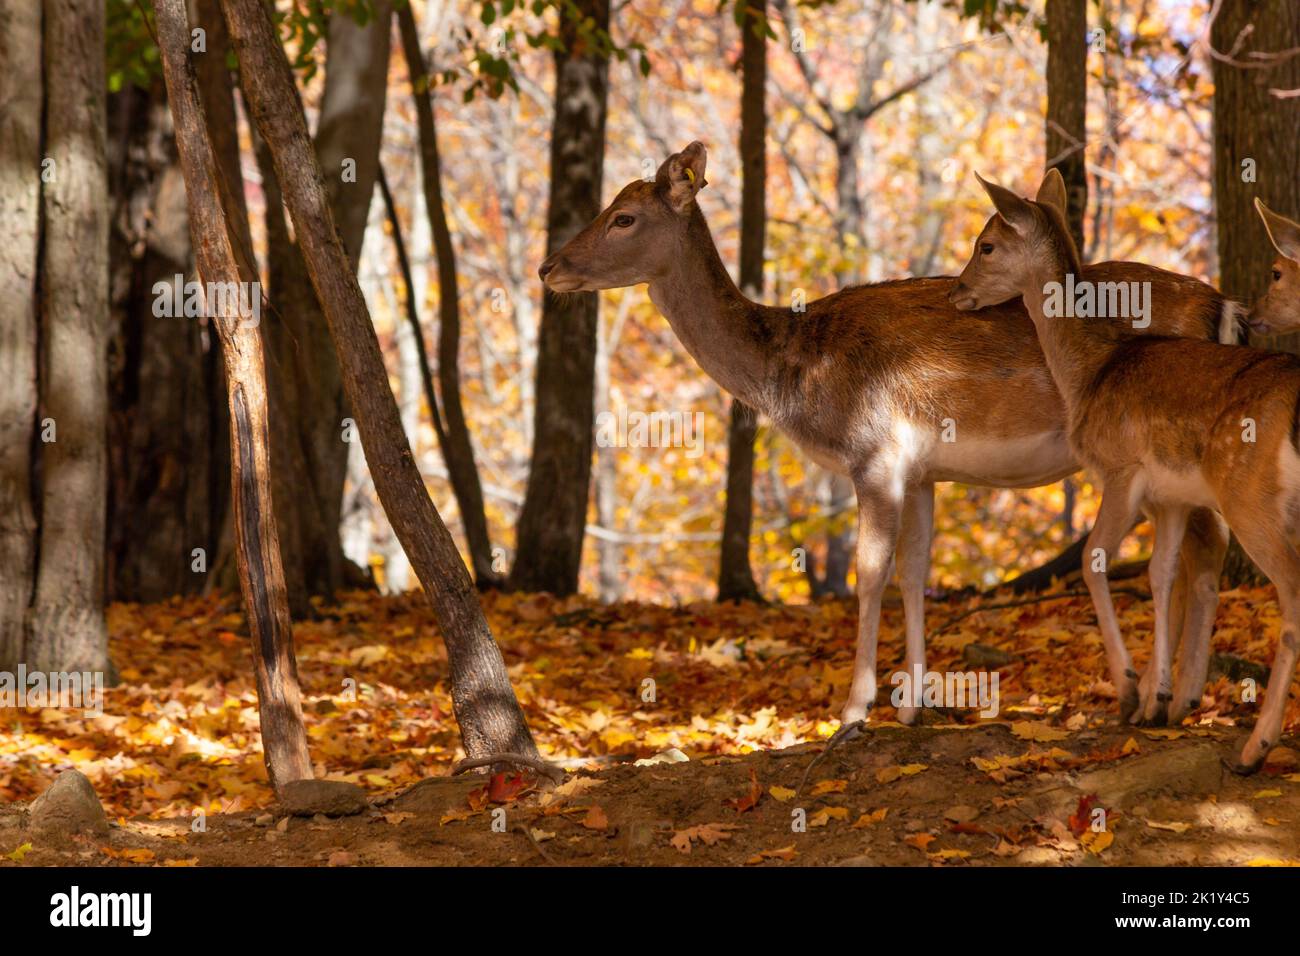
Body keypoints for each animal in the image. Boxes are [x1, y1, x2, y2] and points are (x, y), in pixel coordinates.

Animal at [539, 141, 1240, 737]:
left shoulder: (874, 453)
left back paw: (1167, 695)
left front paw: (854, 711)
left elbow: (869, 571)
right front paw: (913, 705)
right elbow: (914, 569)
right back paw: (1184, 695)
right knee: (1207, 549)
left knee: (1205, 547)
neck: (793, 374)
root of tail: (1223, 307)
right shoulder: (922, 470)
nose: (548, 267)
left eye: (624, 217)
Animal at [949, 172, 1300, 771]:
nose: (956, 291)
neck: (1091, 371)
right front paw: (1158, 696)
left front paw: (1133, 692)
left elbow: (1093, 561)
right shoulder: (1171, 495)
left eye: (986, 244)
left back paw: (1254, 746)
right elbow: (1162, 572)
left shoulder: (1121, 470)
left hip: (1251, 496)